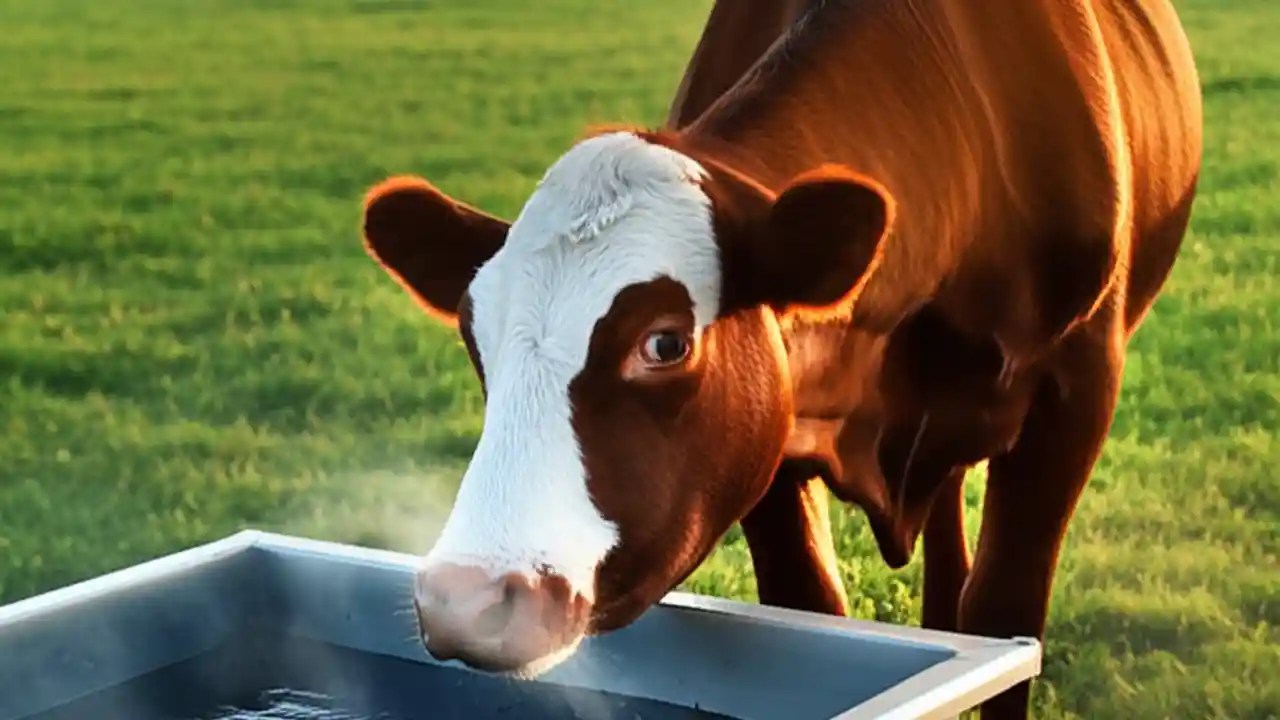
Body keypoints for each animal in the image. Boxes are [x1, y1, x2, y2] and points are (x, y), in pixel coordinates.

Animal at [358, 0, 1202, 716]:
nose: (466, 601)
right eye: (477, 338)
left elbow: (1004, 612)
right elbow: (809, 603)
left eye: (664, 342)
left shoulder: (1075, 392)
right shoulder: (768, 429)